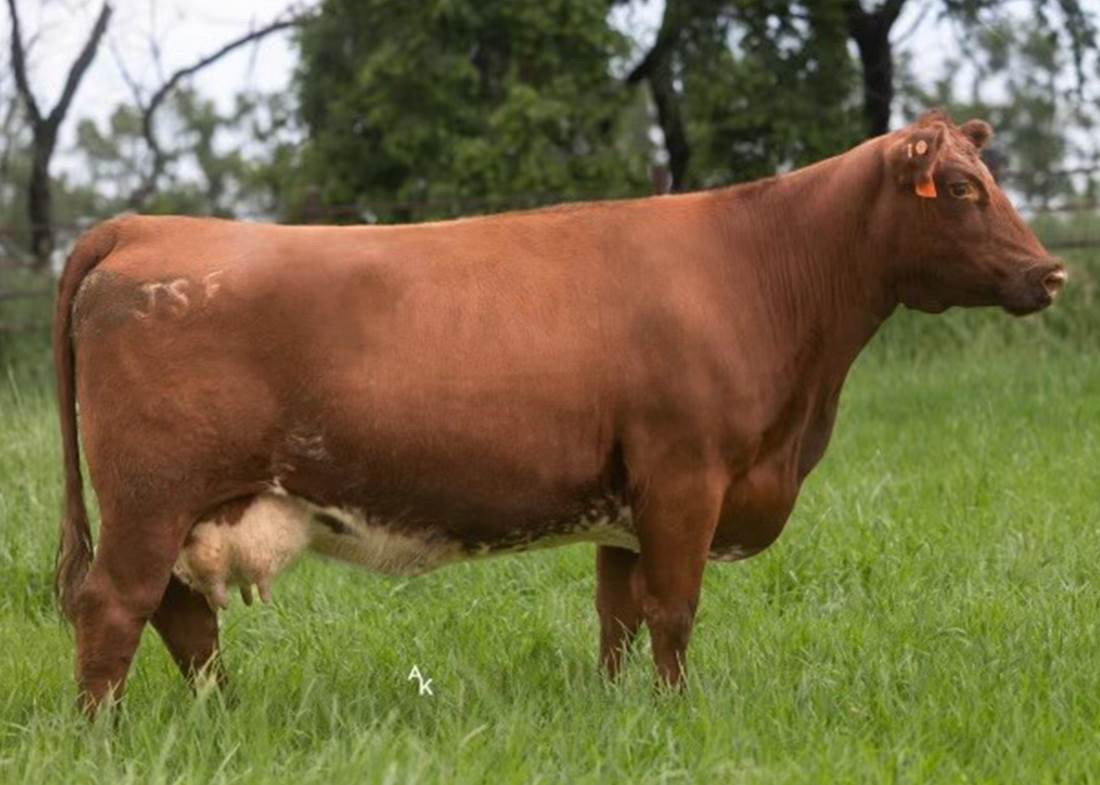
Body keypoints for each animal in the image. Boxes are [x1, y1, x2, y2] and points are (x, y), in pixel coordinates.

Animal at [52, 111, 1064, 713]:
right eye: (963, 189)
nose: (1051, 272)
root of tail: (142, 224)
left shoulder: (629, 501)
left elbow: (618, 611)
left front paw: (620, 710)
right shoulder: (686, 478)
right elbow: (674, 609)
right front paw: (676, 712)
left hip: (185, 507)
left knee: (182, 616)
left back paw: (219, 713)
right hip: (150, 498)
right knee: (115, 607)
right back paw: (104, 732)